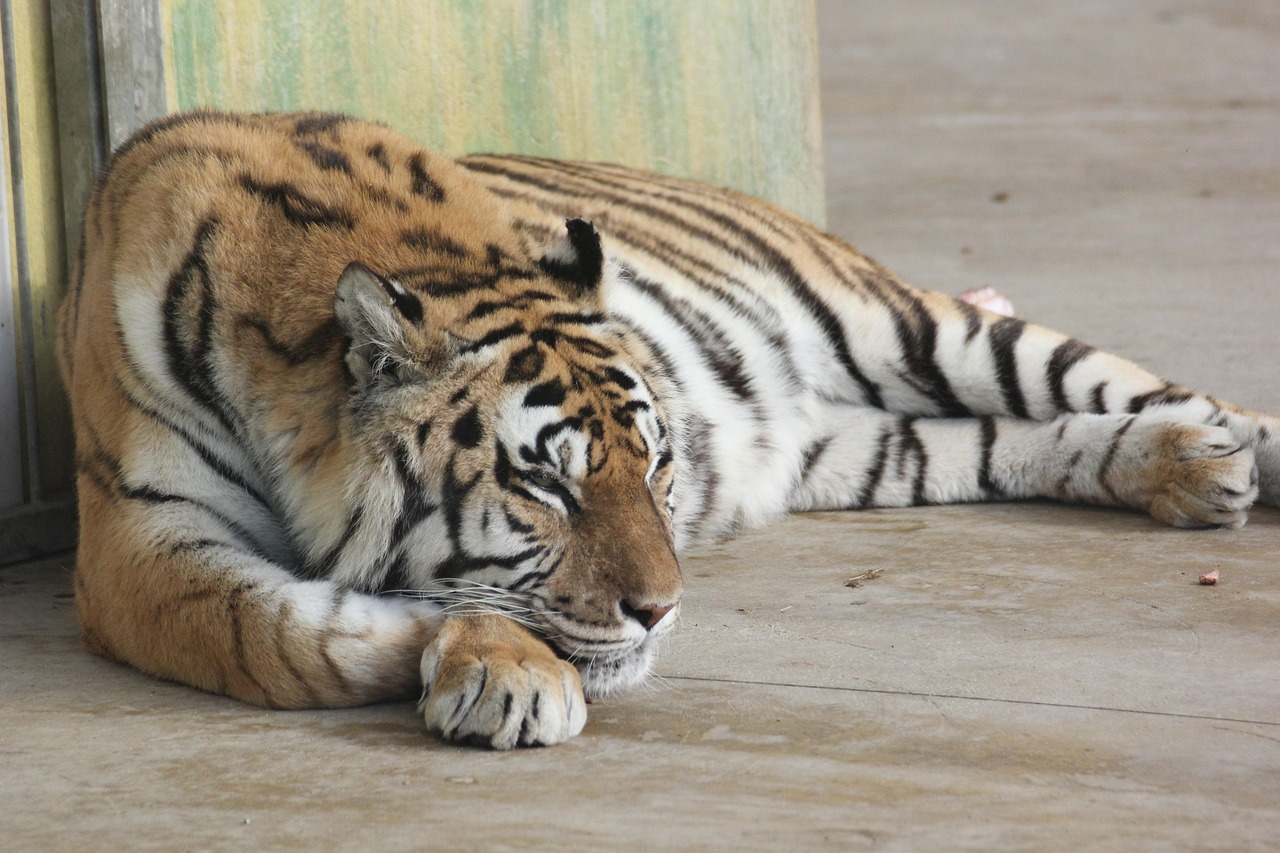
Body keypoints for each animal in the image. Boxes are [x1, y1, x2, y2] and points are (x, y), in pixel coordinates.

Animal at [57, 110, 1279, 750]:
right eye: (544, 486)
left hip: (909, 325)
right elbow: (286, 635)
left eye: (653, 463)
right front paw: (500, 664)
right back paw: (1191, 468)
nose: (665, 609)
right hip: (861, 447)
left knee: (1125, 379)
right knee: (1018, 438)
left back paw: (1227, 448)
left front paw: (504, 668)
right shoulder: (137, 544)